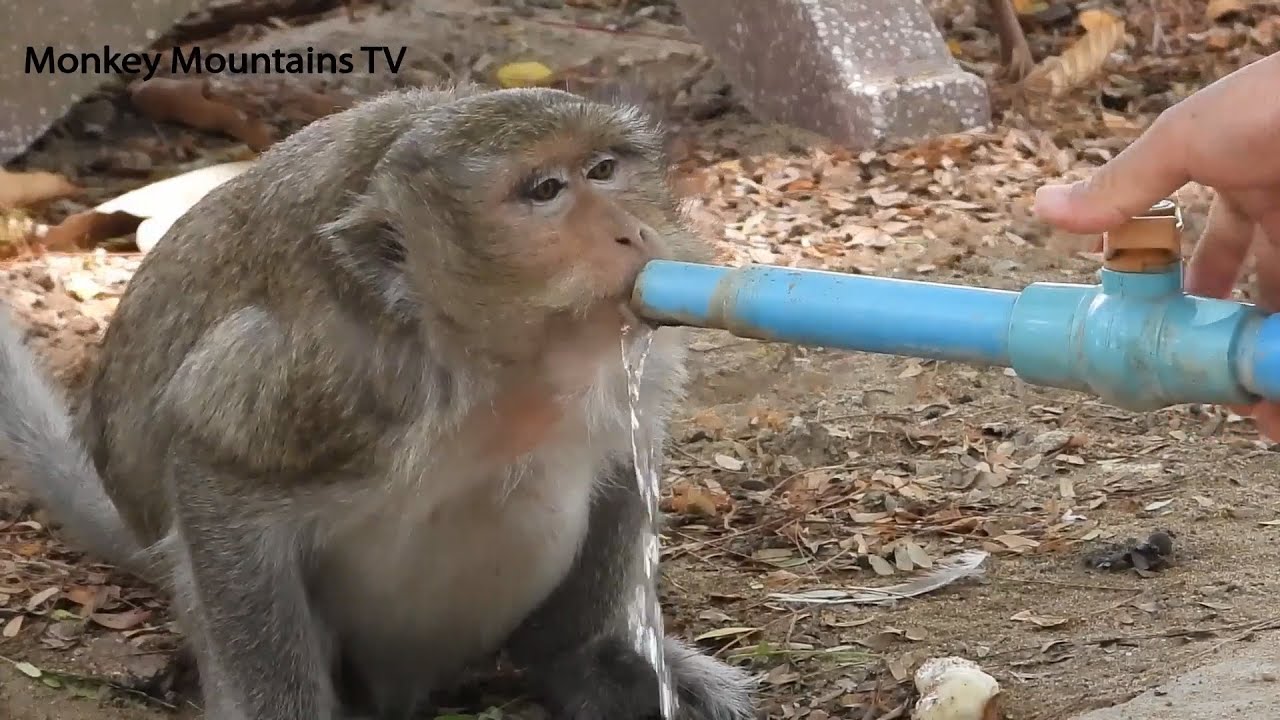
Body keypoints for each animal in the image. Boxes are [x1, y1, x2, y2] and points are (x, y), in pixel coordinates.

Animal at [0, 85, 756, 720]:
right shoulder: (331, 378)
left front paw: (589, 660)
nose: (632, 231)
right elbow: (213, 465)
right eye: (545, 190)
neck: (498, 366)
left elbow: (624, 461)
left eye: (603, 169)